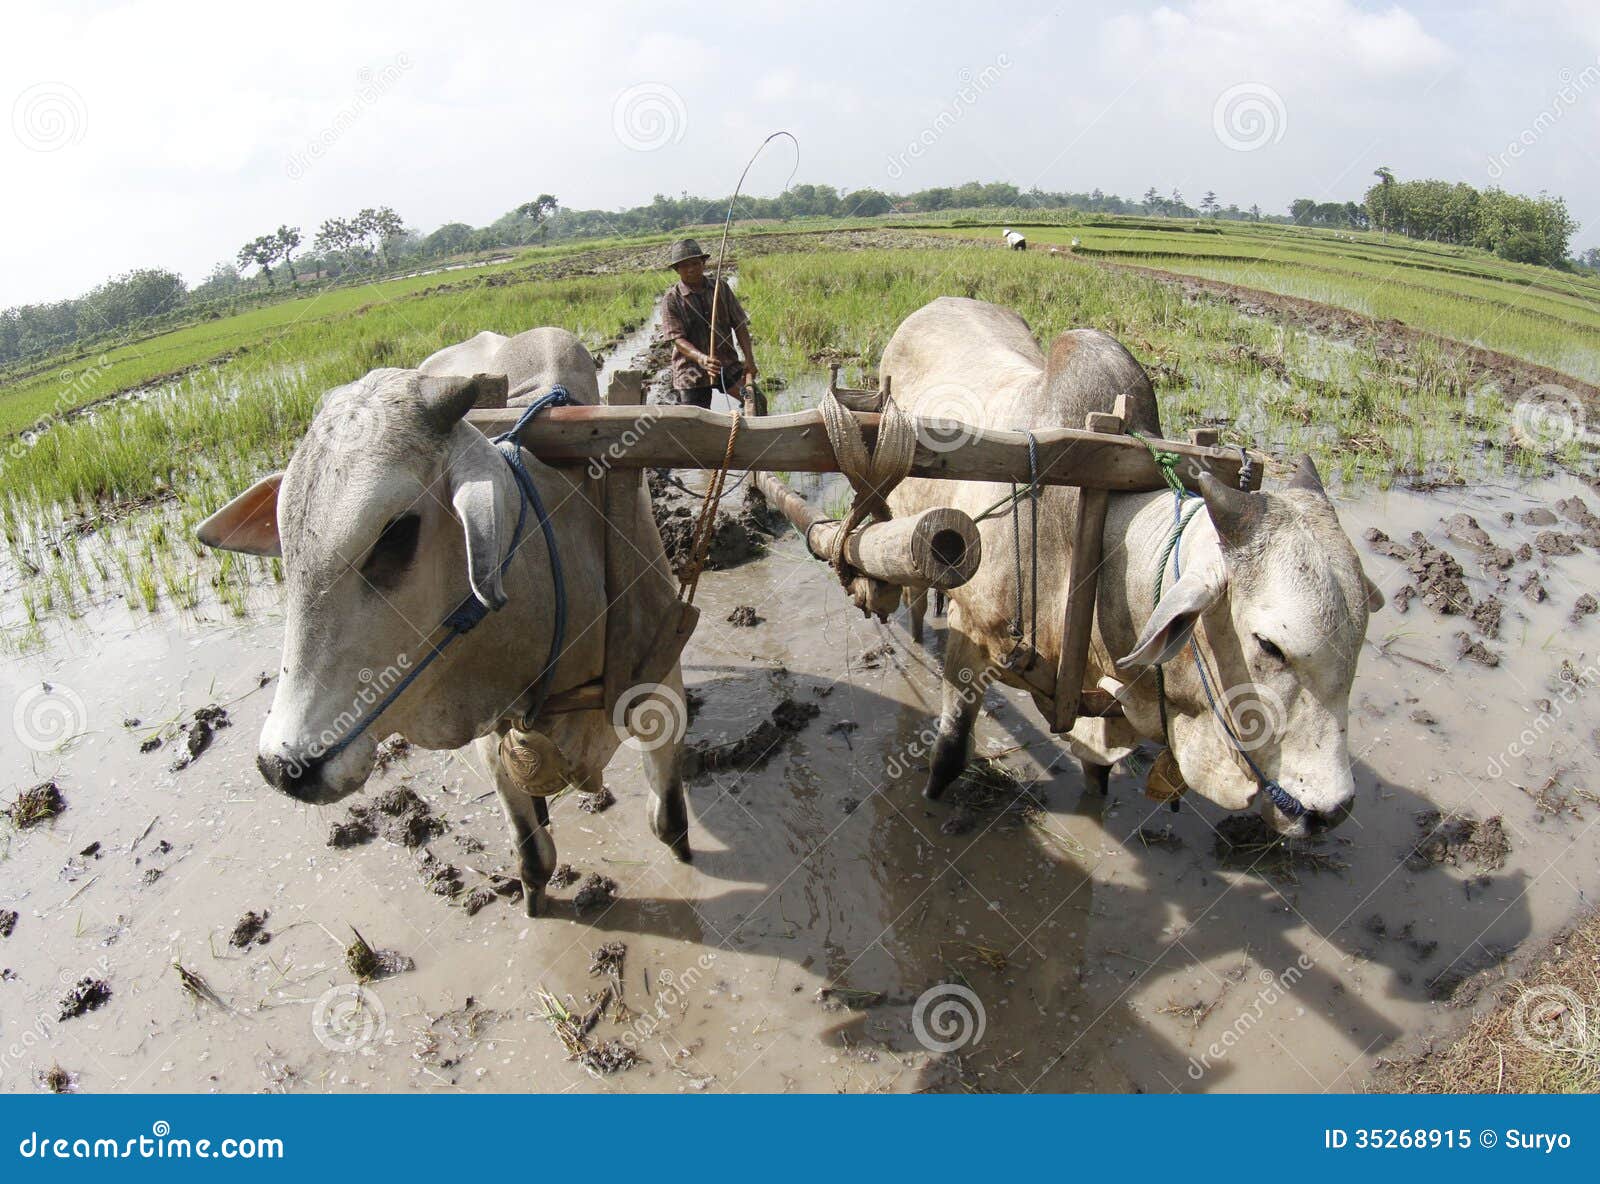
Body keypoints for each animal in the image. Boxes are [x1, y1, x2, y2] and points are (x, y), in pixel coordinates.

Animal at [195, 328, 689, 915]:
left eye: (395, 535)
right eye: (286, 540)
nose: (281, 764)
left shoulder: (664, 685)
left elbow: (669, 824)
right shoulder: (490, 728)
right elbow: (533, 857)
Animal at [884, 297, 1384, 837]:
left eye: (1358, 643)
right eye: (1269, 646)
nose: (1330, 810)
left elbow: (1096, 772)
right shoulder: (972, 634)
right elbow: (952, 749)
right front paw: (932, 800)